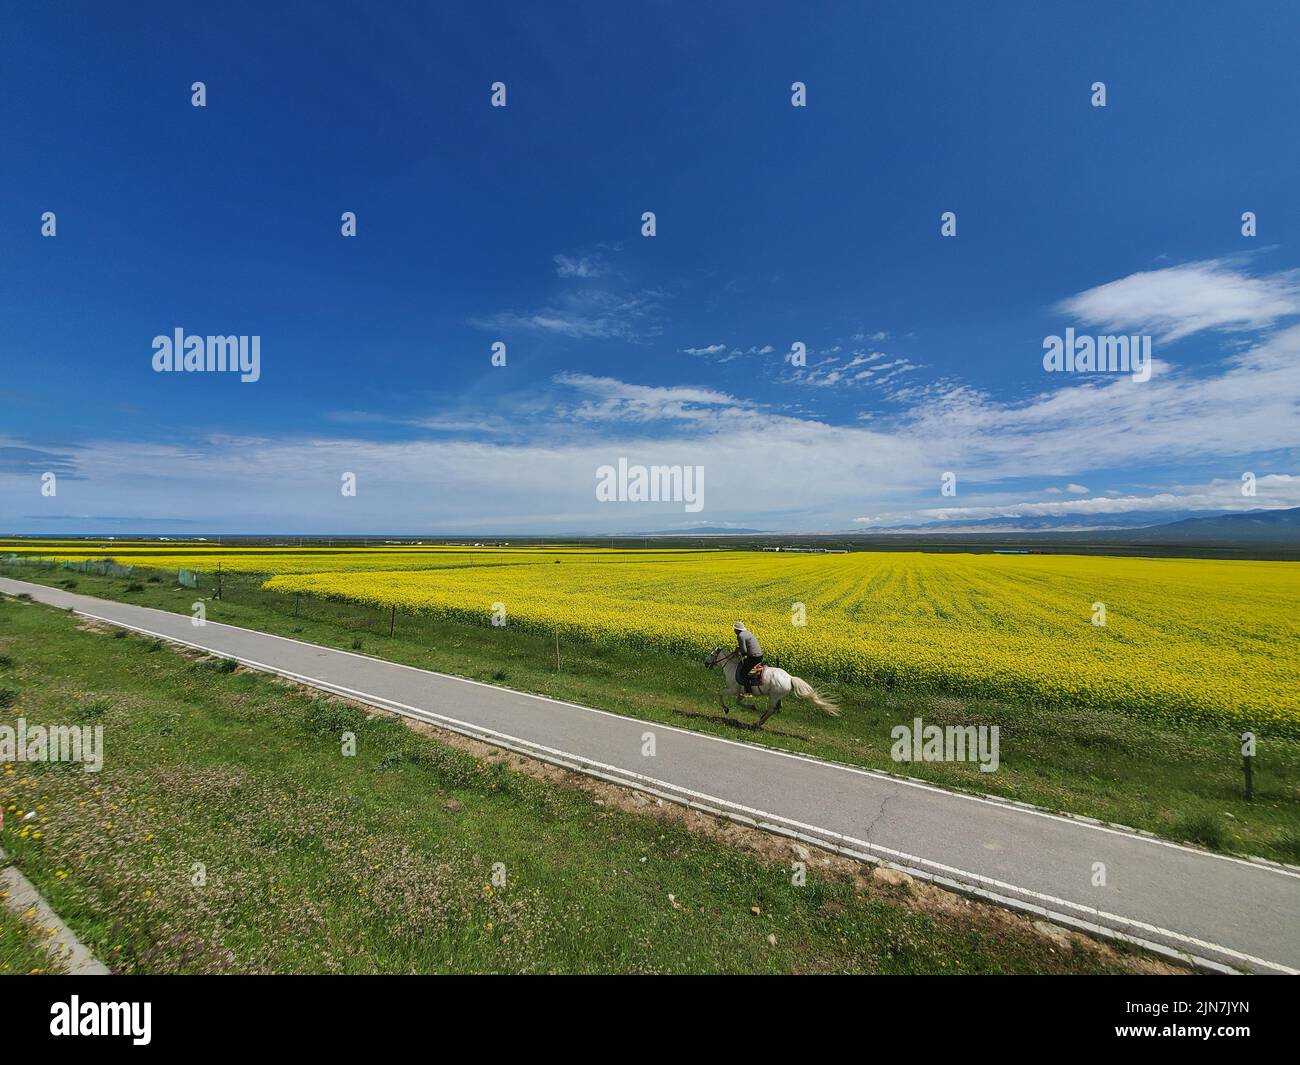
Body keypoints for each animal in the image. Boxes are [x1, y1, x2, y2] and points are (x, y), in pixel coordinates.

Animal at [703, 646, 840, 727]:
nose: (706, 663)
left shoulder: (732, 689)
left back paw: (758, 723)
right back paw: (760, 719)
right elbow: (738, 701)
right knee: (775, 709)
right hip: (776, 697)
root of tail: (790, 678)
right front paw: (751, 706)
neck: (731, 667)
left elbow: (720, 693)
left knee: (771, 710)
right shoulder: (740, 692)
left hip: (773, 696)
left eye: (711, 655)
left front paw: (726, 709)